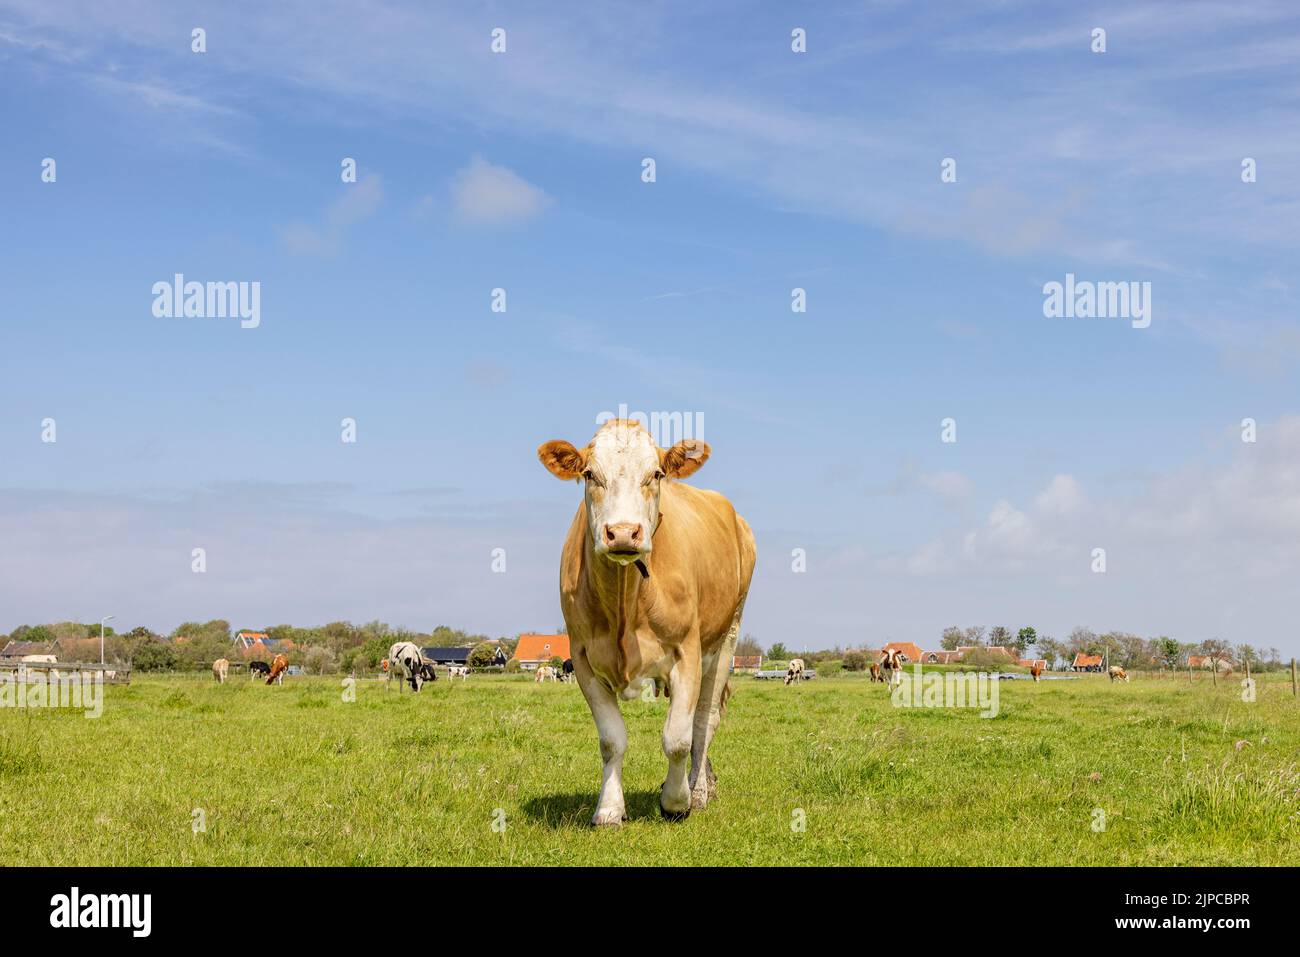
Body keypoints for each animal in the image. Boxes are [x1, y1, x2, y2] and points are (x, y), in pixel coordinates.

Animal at [538, 418, 756, 824]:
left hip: (727, 638)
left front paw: (676, 801)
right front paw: (609, 809)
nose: (623, 532)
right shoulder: (583, 659)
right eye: (589, 474)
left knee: (704, 721)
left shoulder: (687, 652)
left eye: (655, 474)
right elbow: (612, 739)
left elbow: (677, 738)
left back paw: (698, 790)